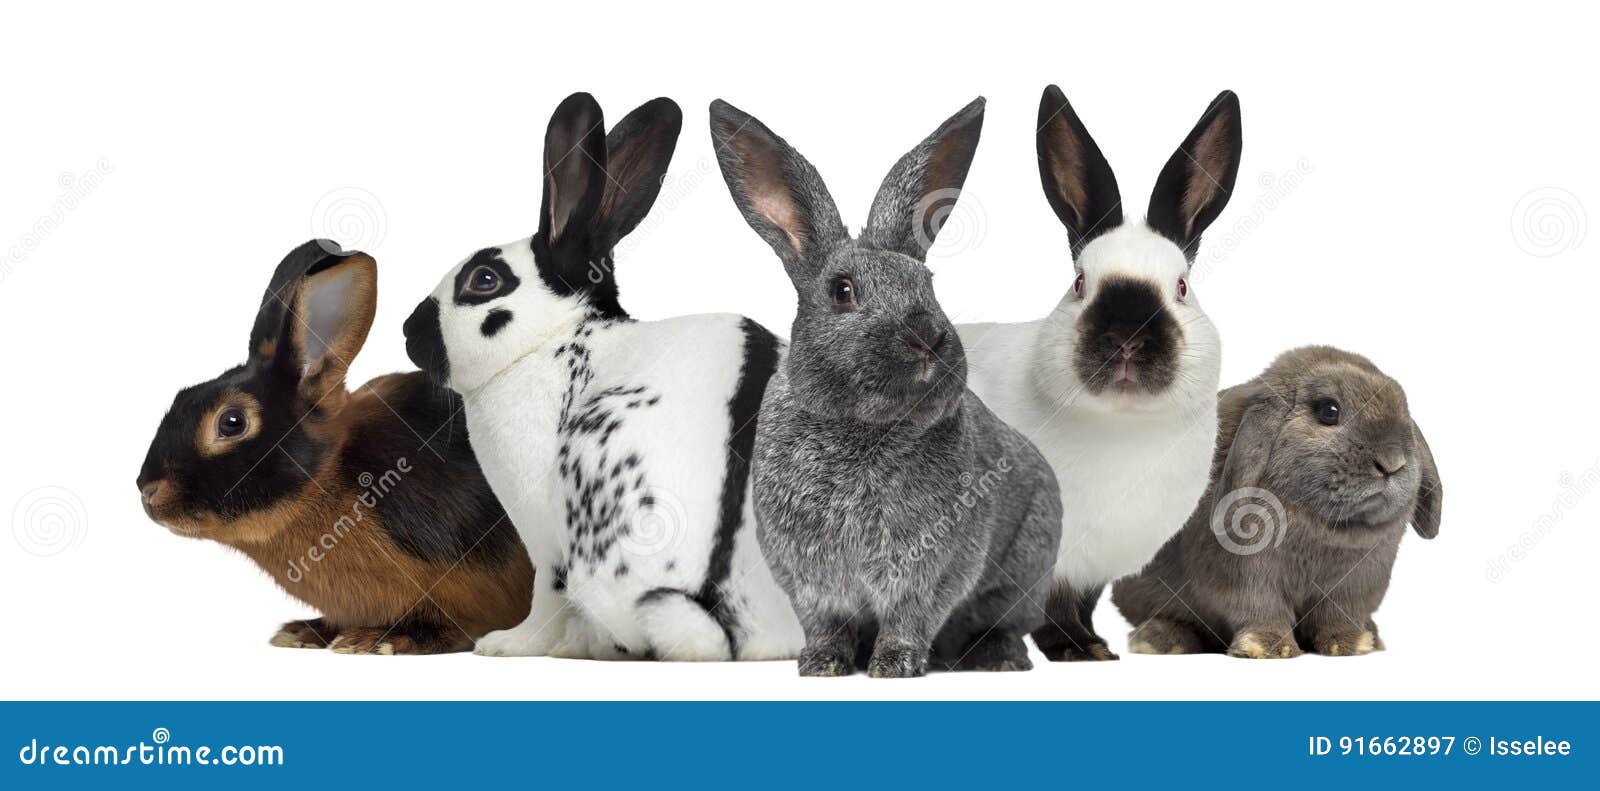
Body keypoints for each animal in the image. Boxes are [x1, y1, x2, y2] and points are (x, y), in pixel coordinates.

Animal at [136, 240, 533, 654]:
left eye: (232, 422)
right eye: (181, 396)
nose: (147, 491)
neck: (328, 475)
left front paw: (381, 640)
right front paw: (303, 632)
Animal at [402, 93, 804, 661]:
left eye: (484, 279)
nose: (408, 333)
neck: (552, 339)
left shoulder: (545, 540)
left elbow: (545, 599)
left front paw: (508, 644)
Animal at [710, 97, 1063, 678]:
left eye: (929, 286)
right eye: (842, 291)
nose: (927, 335)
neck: (860, 428)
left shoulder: (936, 570)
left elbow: (911, 616)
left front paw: (894, 665)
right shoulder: (805, 578)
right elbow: (824, 622)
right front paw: (823, 665)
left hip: (1027, 570)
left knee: (1005, 622)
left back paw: (998, 659)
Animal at [956, 87, 1242, 661]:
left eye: (1181, 287)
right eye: (1080, 283)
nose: (1127, 338)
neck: (1121, 424)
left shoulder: (1090, 567)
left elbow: (1079, 606)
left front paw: (1093, 647)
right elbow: (1048, 609)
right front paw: (1075, 651)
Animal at [1111, 346, 1443, 658]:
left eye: (1404, 411)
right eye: (1329, 411)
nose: (1392, 462)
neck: (1324, 529)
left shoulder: (1355, 585)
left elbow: (1338, 615)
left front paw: (1351, 643)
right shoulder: (1247, 576)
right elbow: (1259, 607)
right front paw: (1267, 648)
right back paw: (1160, 640)